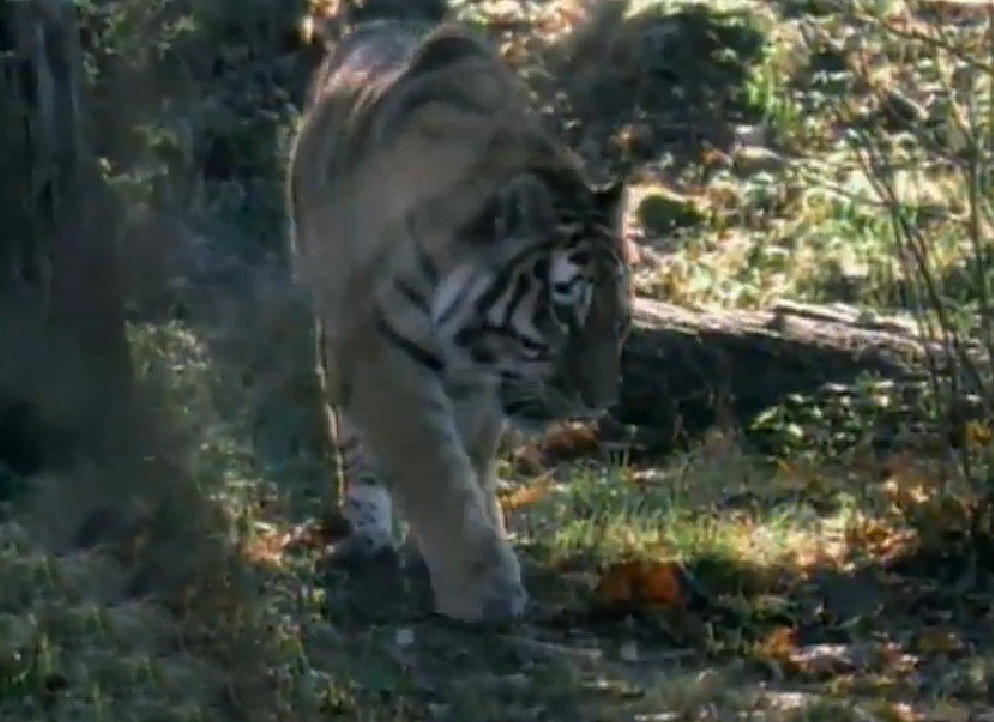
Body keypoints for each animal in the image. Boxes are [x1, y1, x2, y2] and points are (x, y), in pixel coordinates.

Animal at [286, 17, 633, 622]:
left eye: (619, 325)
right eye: (565, 315)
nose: (597, 404)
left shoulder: (481, 383)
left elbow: (469, 467)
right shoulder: (380, 354)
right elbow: (434, 470)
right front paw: (483, 588)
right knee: (353, 437)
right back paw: (369, 534)